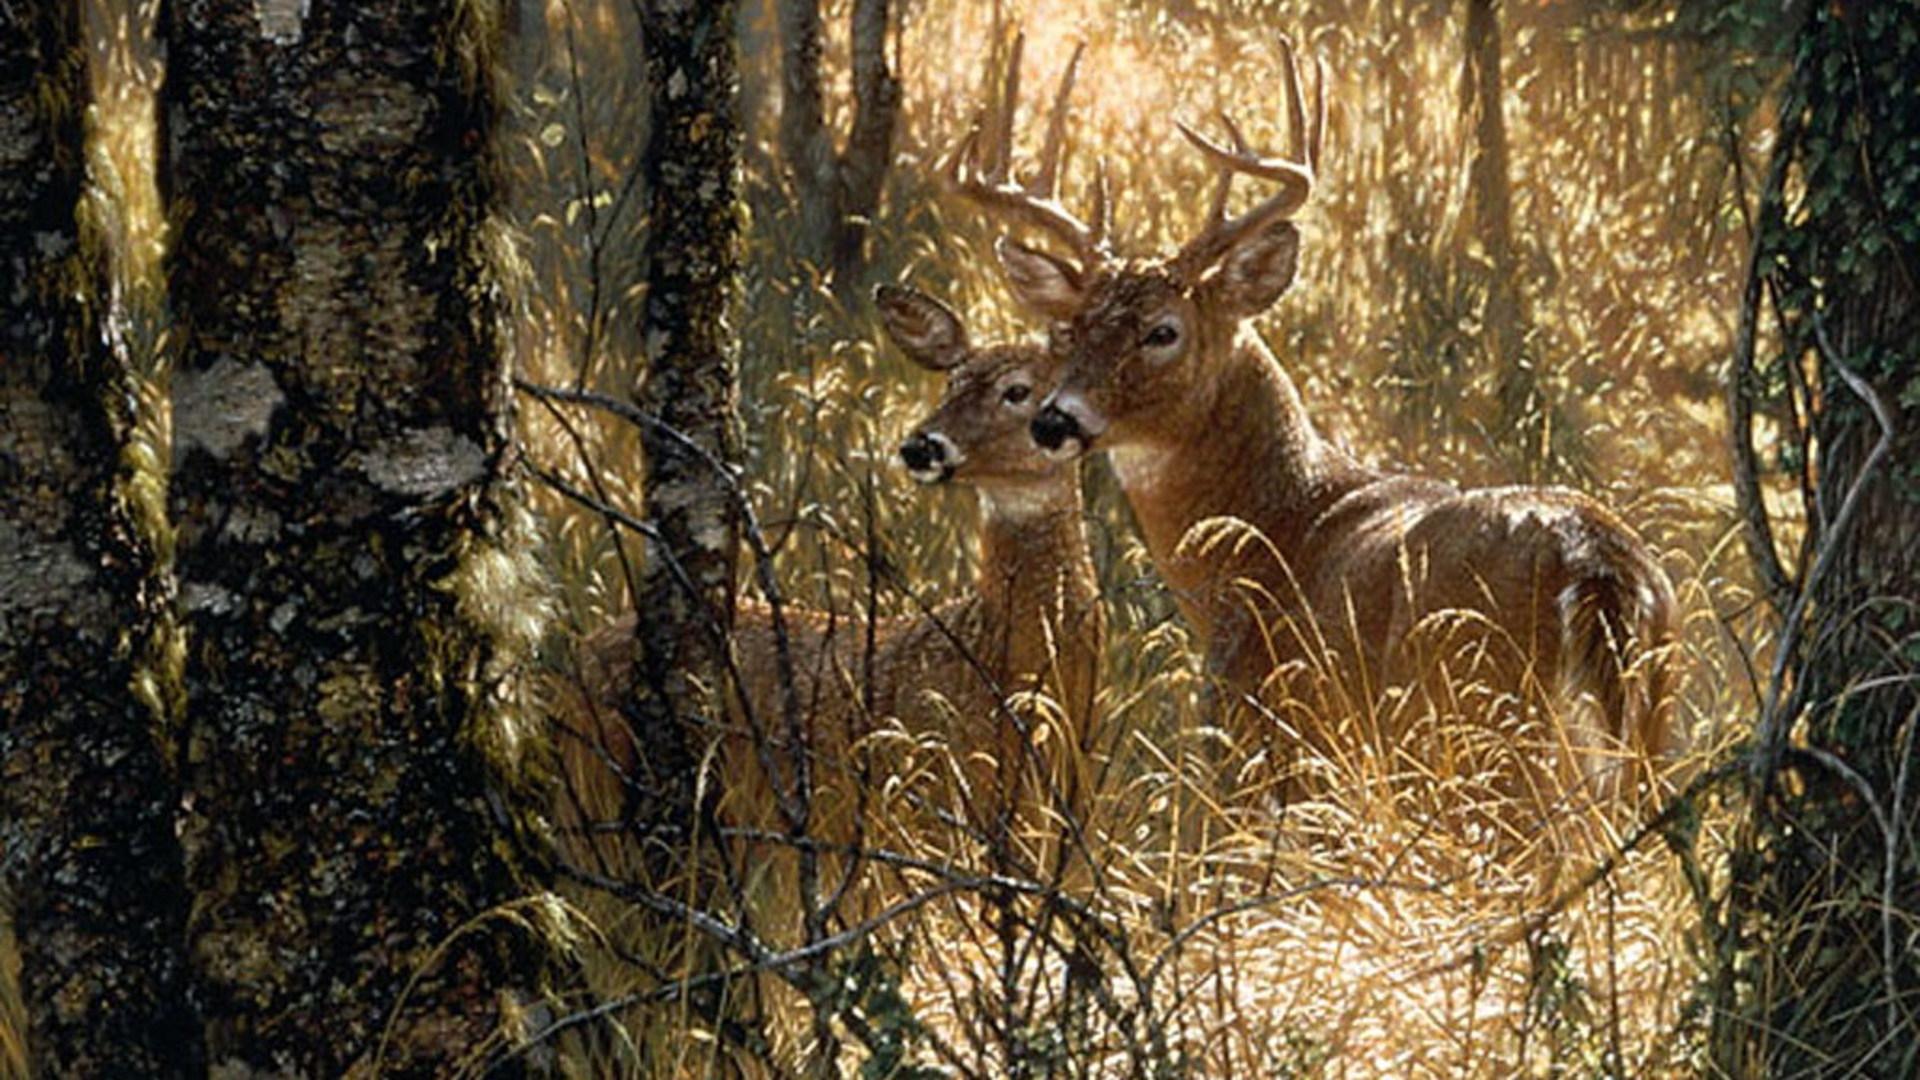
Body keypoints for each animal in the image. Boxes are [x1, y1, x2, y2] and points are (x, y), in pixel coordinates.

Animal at [946, 33, 1676, 825]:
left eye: (1163, 331)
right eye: (1069, 330)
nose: (1055, 419)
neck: (1270, 526)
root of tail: (1597, 567)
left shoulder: (1270, 739)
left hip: (1478, 734)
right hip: (1647, 732)